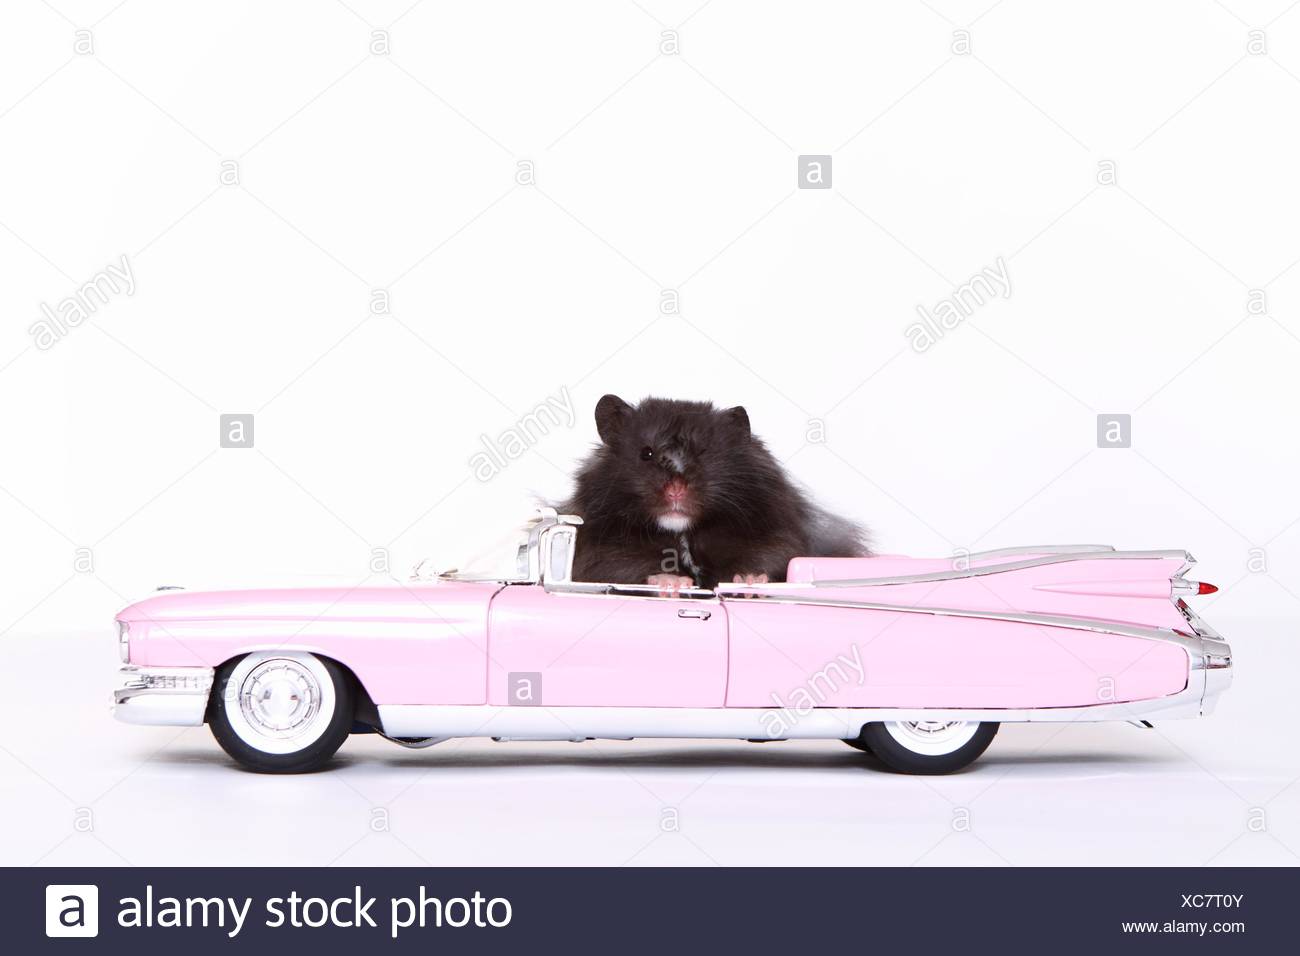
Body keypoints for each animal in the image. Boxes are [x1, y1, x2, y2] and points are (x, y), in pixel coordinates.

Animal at [557, 394, 869, 589]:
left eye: (702, 452)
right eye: (646, 453)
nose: (676, 492)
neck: (682, 531)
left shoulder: (777, 535)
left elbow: (769, 556)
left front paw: (748, 579)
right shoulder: (597, 553)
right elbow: (623, 566)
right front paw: (673, 582)